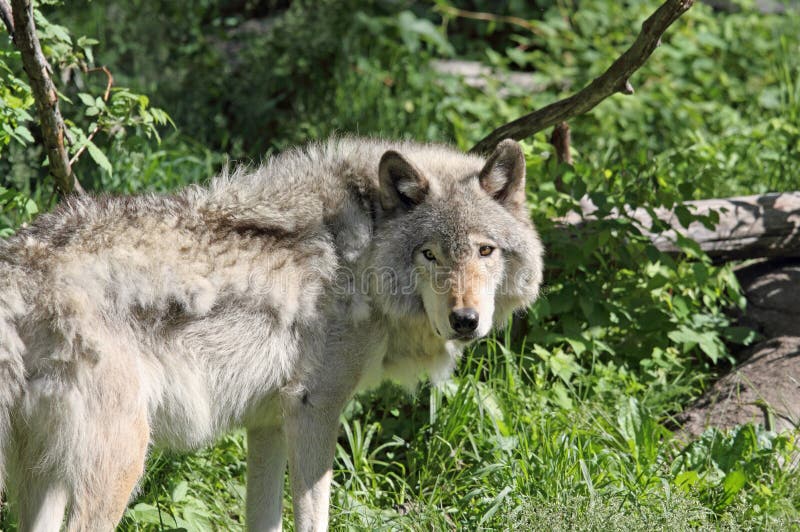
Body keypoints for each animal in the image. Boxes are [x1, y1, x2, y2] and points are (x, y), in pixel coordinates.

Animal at [0, 136, 543, 531]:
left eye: (485, 251)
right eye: (429, 254)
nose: (465, 320)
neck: (364, 254)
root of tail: (21, 268)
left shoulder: (266, 423)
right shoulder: (314, 410)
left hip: (43, 476)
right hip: (120, 463)